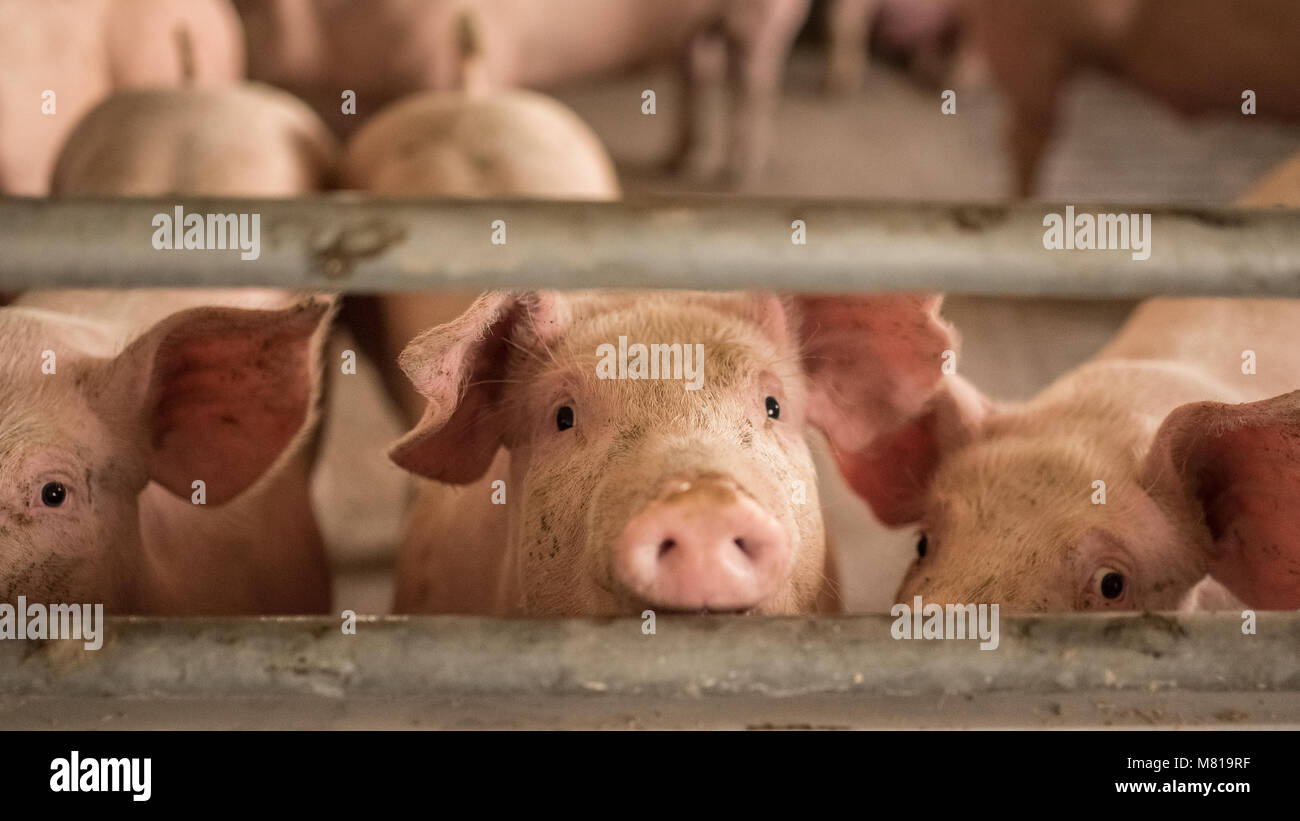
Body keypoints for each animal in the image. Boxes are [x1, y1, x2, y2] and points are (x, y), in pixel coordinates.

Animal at [236, 0, 811, 184]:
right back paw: (677, 161)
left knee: (754, 81)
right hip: (698, 28)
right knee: (697, 71)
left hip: (765, 16)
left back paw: (739, 174)